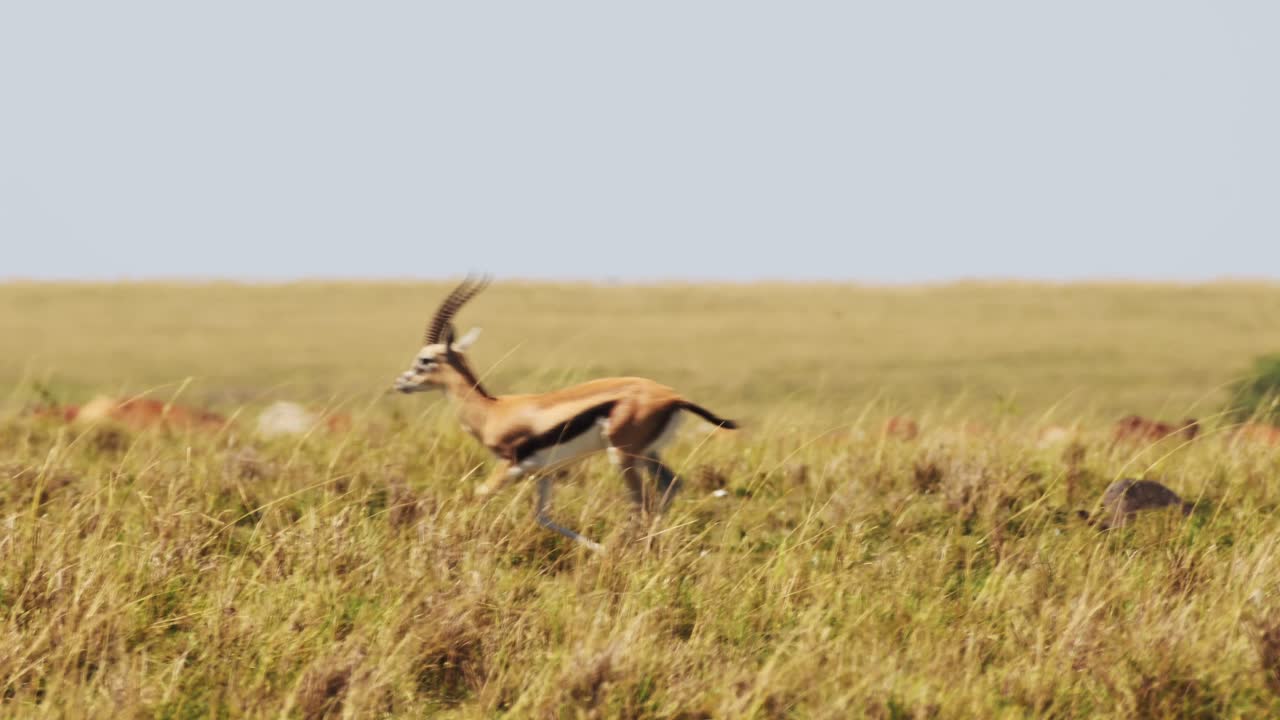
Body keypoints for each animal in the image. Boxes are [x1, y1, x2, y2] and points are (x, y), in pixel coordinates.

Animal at [393, 276, 739, 552]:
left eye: (425, 360)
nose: (401, 383)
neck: (492, 410)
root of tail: (674, 397)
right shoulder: (543, 473)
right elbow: (542, 516)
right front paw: (598, 550)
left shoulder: (510, 464)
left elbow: (479, 494)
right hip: (648, 454)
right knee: (671, 485)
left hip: (622, 455)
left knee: (644, 501)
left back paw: (631, 548)